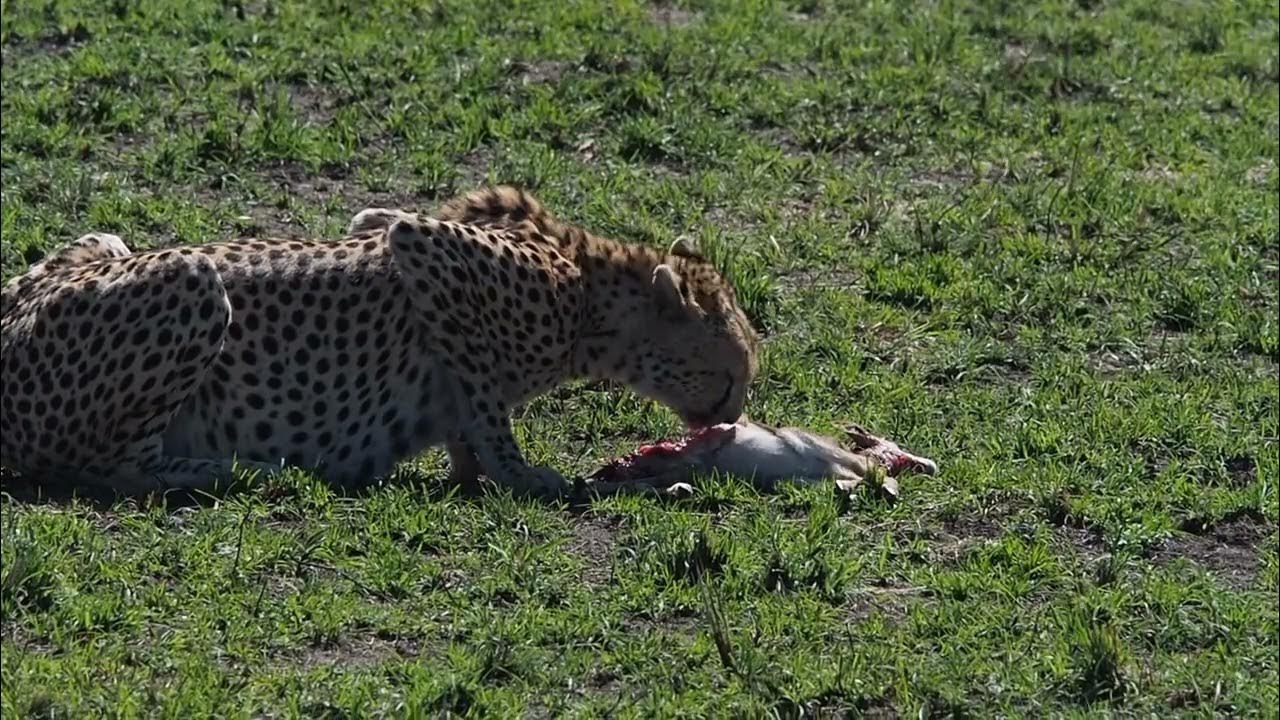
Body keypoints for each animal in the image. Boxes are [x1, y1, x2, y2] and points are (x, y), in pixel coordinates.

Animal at [0, 186, 760, 497]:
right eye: (732, 373)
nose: (733, 415)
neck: (588, 293)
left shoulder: (383, 221)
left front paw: (467, 469)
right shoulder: (427, 249)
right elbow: (486, 403)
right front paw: (521, 475)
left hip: (104, 242)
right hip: (192, 283)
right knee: (115, 468)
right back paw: (240, 470)